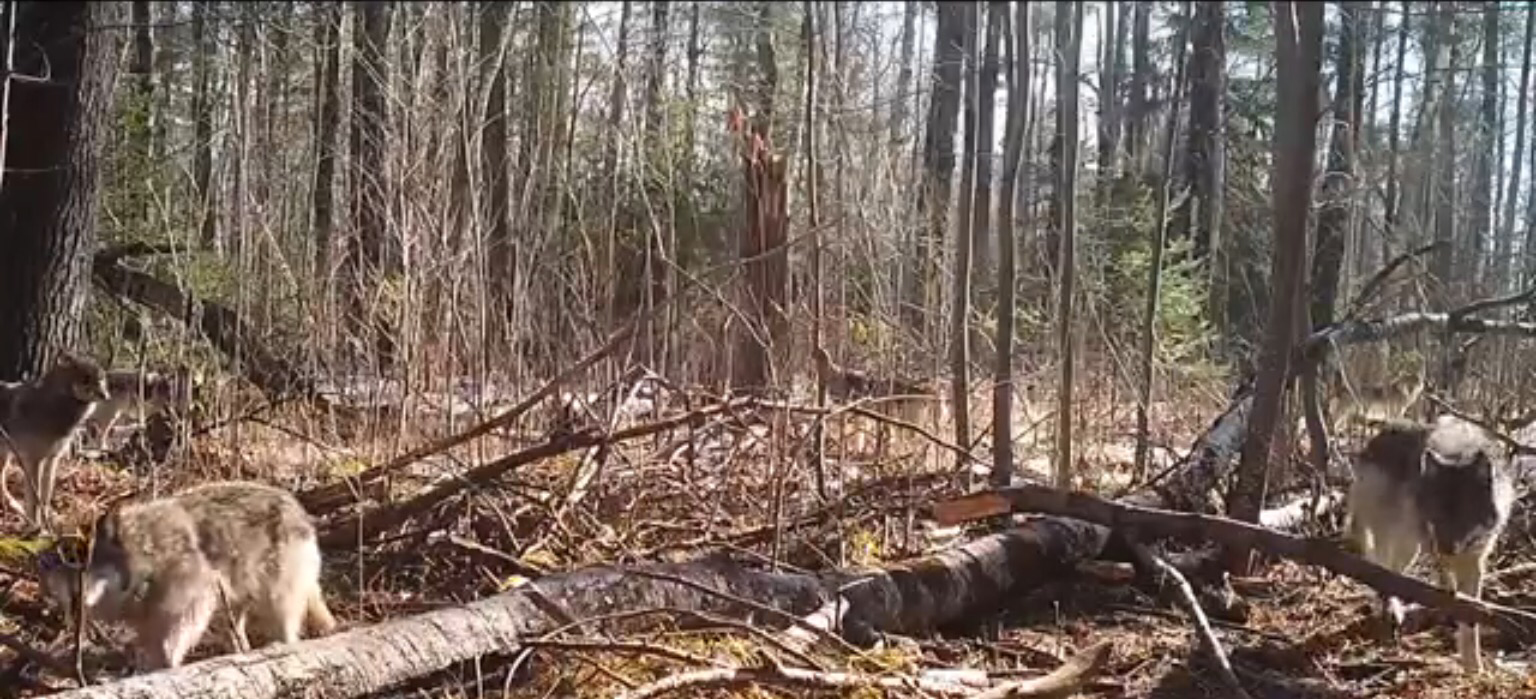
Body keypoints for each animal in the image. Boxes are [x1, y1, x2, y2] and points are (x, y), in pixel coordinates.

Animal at [0, 352, 112, 531]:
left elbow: (45, 498)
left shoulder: (52, 459)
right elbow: (35, 500)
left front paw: (46, 525)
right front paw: (36, 529)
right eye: (86, 379)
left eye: (101, 379)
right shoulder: (34, 460)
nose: (106, 396)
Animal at [36, 480, 338, 671]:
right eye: (63, 571)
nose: (75, 601)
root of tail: (295, 504)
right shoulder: (147, 626)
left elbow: (170, 649)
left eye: (85, 565)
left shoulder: (191, 606)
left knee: (290, 637)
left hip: (278, 602)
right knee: (239, 636)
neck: (147, 556)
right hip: (233, 607)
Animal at [1348, 415, 1516, 673]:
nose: (1445, 548)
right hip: (1400, 539)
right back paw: (1391, 610)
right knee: (1383, 571)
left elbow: (1471, 620)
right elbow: (1446, 579)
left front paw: (1473, 667)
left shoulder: (1475, 560)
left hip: (1409, 549)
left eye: (1464, 516)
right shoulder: (1433, 543)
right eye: (1436, 516)